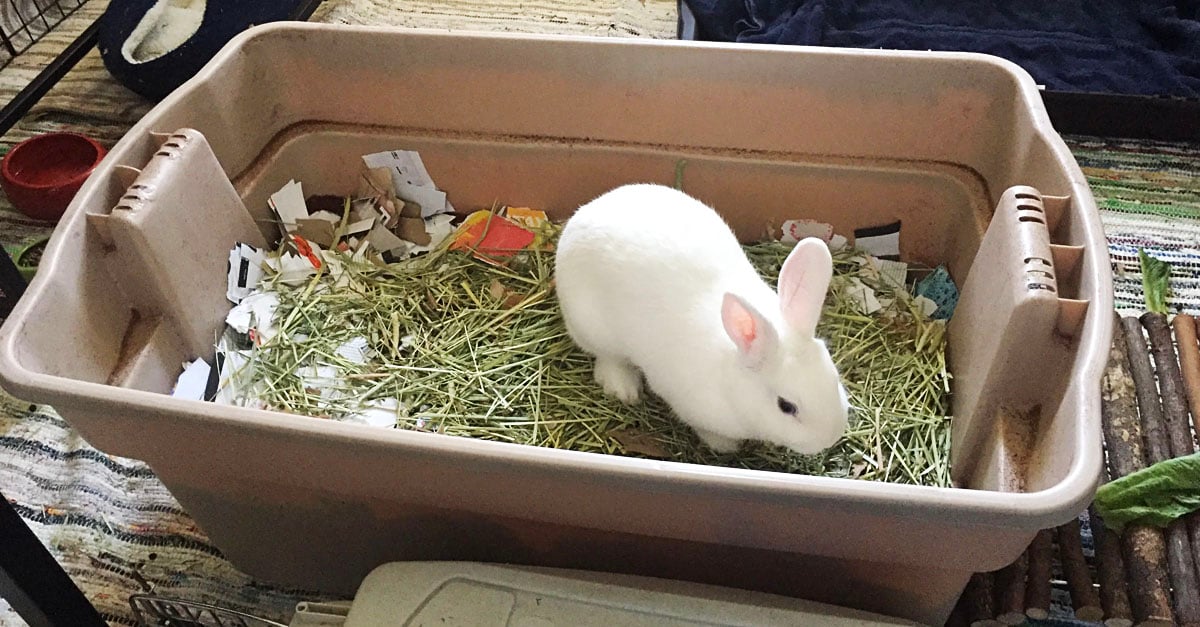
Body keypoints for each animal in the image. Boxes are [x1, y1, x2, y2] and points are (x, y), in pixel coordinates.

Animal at [555, 183, 850, 455]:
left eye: (834, 378)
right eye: (786, 406)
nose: (830, 438)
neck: (731, 378)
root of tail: (587, 210)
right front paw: (726, 447)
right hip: (591, 326)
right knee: (607, 357)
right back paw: (624, 389)